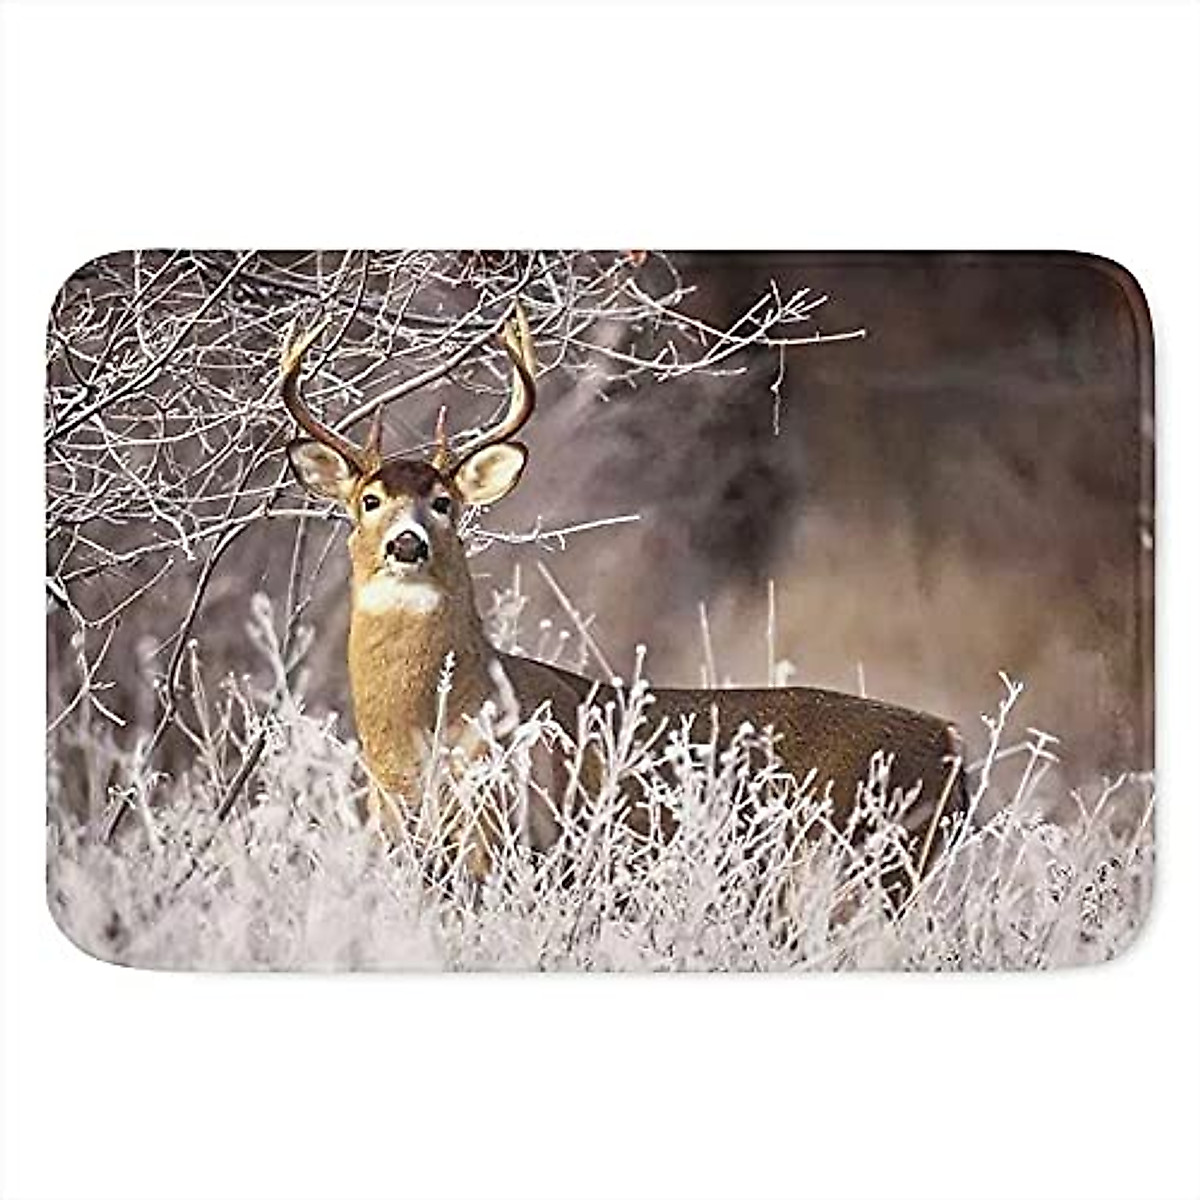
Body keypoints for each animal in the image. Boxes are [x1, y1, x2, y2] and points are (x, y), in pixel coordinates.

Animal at [280, 309, 968, 902]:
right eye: (369, 500)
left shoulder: (506, 834)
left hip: (863, 865)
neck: (420, 735)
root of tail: (952, 748)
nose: (406, 542)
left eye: (444, 502)